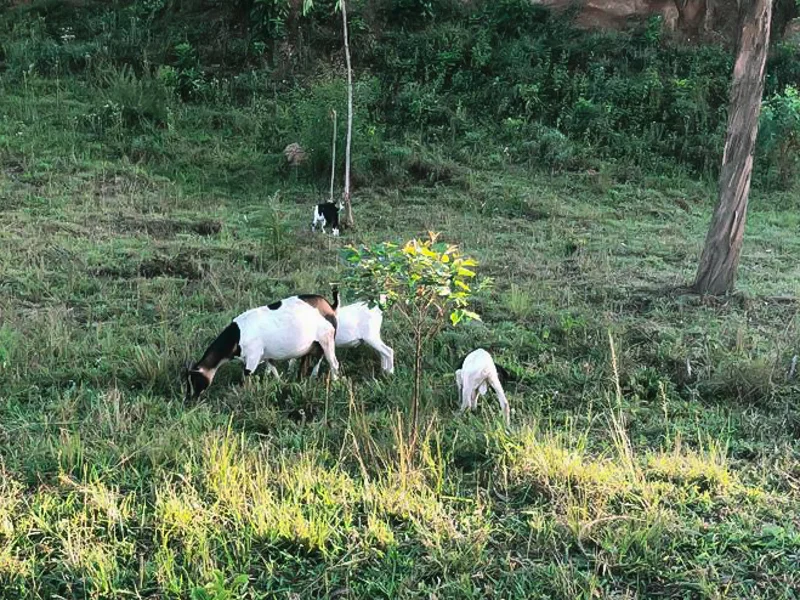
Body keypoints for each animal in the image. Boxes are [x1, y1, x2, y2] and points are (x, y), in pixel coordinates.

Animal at [185, 289, 340, 401]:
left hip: (327, 339)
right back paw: (306, 378)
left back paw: (335, 384)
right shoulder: (265, 356)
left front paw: (244, 394)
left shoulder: (253, 356)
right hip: (313, 344)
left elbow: (246, 375)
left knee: (333, 363)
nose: (190, 399)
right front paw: (281, 384)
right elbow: (273, 369)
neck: (237, 336)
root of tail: (330, 307)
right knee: (310, 360)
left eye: (195, 380)